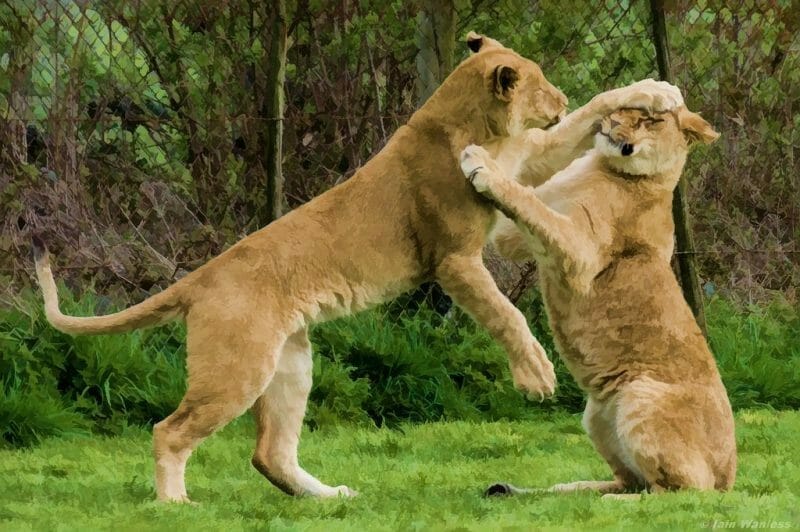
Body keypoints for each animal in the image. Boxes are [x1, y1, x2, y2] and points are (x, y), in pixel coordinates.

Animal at [32, 32, 681, 503]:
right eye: (541, 82)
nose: (560, 97)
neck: (472, 124)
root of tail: (200, 277)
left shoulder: (526, 163)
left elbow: (583, 123)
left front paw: (651, 91)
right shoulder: (454, 259)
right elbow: (504, 314)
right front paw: (536, 377)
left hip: (290, 362)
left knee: (269, 453)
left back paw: (328, 497)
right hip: (236, 370)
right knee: (169, 431)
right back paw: (175, 505)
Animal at [460, 105, 736, 497]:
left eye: (652, 121)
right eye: (635, 112)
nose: (620, 132)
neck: (602, 166)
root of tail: (730, 477)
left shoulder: (580, 254)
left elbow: (532, 206)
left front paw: (482, 164)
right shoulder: (514, 238)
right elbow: (528, 206)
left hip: (640, 395)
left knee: (676, 492)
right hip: (596, 416)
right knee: (630, 482)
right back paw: (539, 490)